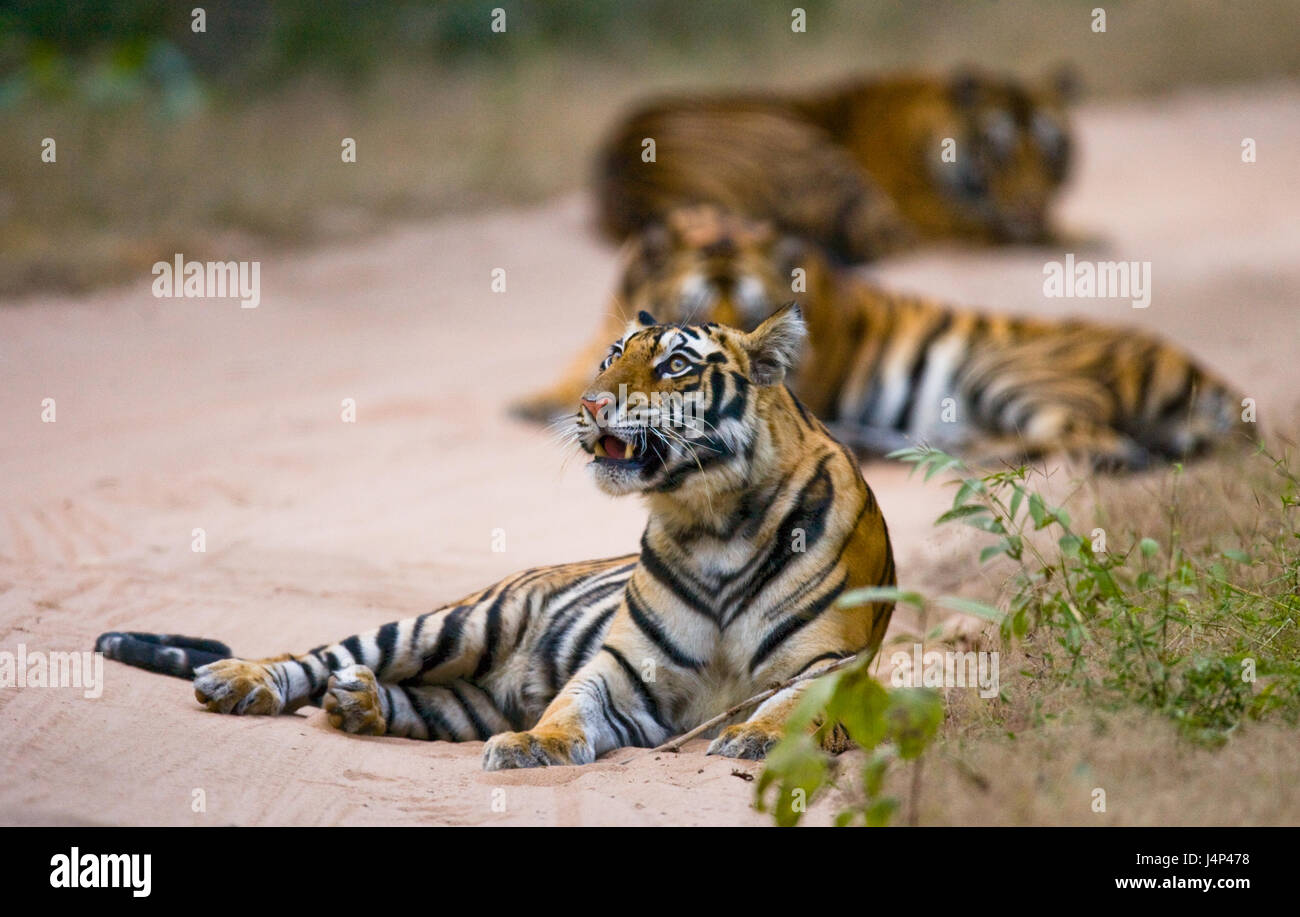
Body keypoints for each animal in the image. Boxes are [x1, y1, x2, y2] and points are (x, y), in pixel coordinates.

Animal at [96, 305, 897, 769]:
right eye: (611, 356)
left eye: (674, 365)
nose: (590, 403)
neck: (712, 521)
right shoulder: (623, 667)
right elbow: (570, 704)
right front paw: (535, 744)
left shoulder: (830, 661)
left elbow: (795, 705)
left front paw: (759, 736)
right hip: (457, 623)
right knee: (322, 654)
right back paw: (241, 681)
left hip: (466, 691)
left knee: (411, 698)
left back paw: (359, 704)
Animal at [516, 206, 1252, 471]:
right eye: (694, 308)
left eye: (748, 309)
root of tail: (1209, 376)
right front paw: (539, 400)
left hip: (1009, 373)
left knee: (1097, 444)